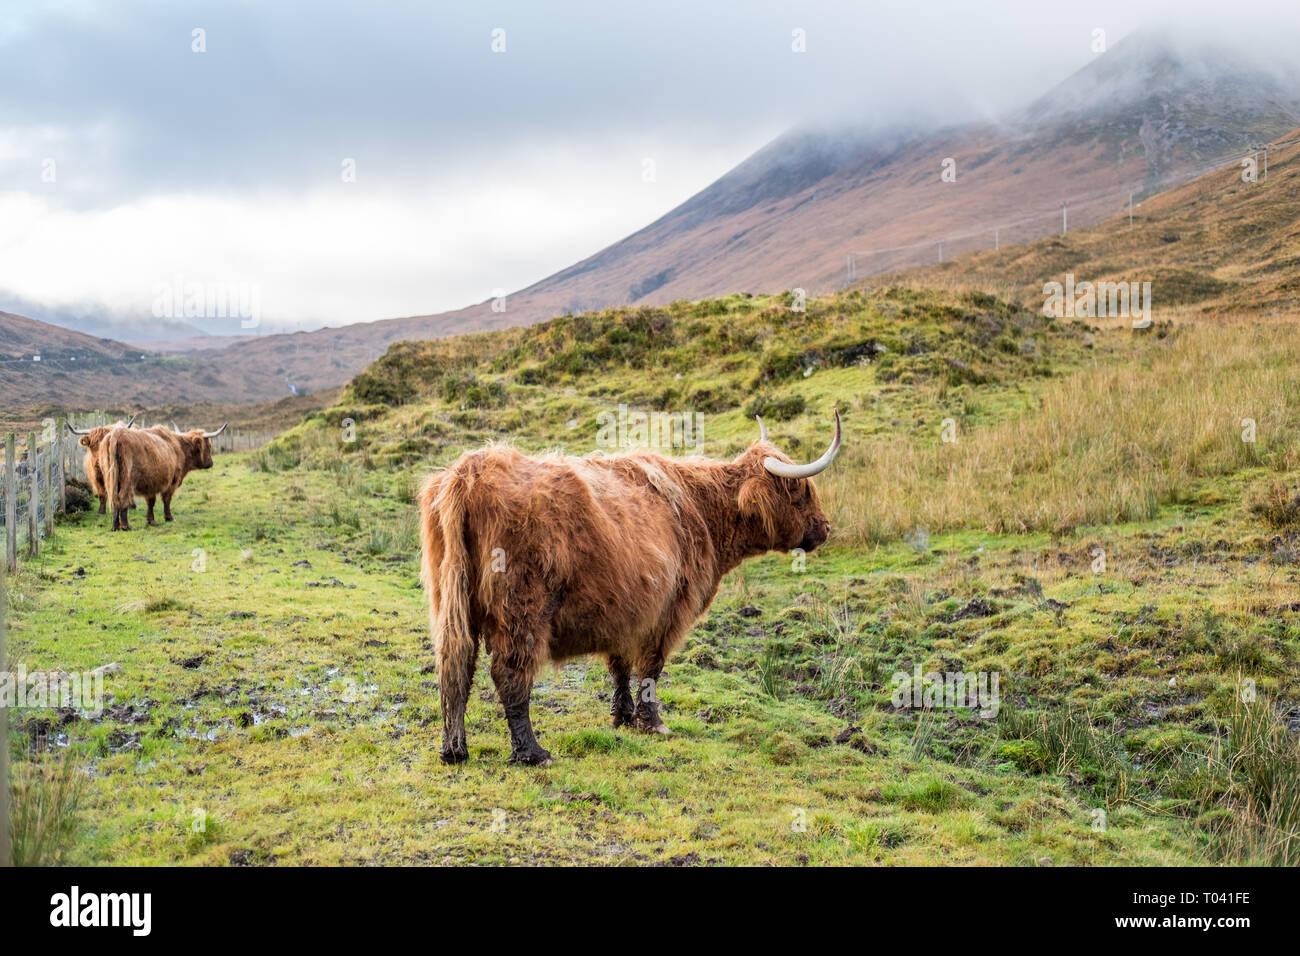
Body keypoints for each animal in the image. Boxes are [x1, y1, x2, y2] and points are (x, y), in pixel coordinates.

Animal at [418, 412, 841, 766]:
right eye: (800, 491)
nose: (825, 527)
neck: (703, 510)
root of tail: (469, 472)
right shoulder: (670, 610)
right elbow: (651, 668)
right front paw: (652, 722)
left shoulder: (622, 608)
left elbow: (618, 664)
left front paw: (621, 718)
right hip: (521, 607)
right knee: (509, 673)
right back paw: (533, 753)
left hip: (449, 601)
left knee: (454, 667)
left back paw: (453, 750)